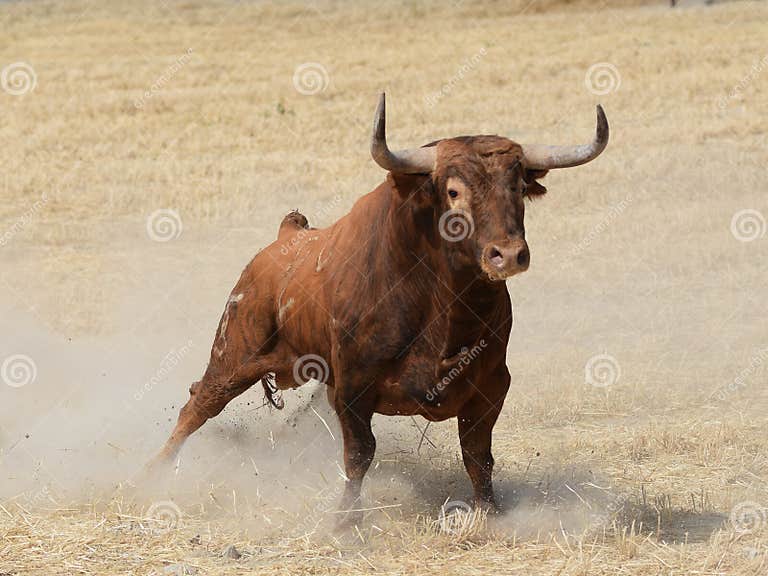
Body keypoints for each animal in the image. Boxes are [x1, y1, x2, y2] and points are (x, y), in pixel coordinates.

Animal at [149, 94, 609, 526]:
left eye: (518, 188)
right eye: (453, 192)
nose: (508, 255)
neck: (445, 309)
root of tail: (284, 239)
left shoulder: (491, 387)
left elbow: (478, 457)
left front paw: (491, 515)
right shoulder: (353, 388)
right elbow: (360, 454)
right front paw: (343, 521)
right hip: (232, 356)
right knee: (197, 406)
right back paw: (150, 473)